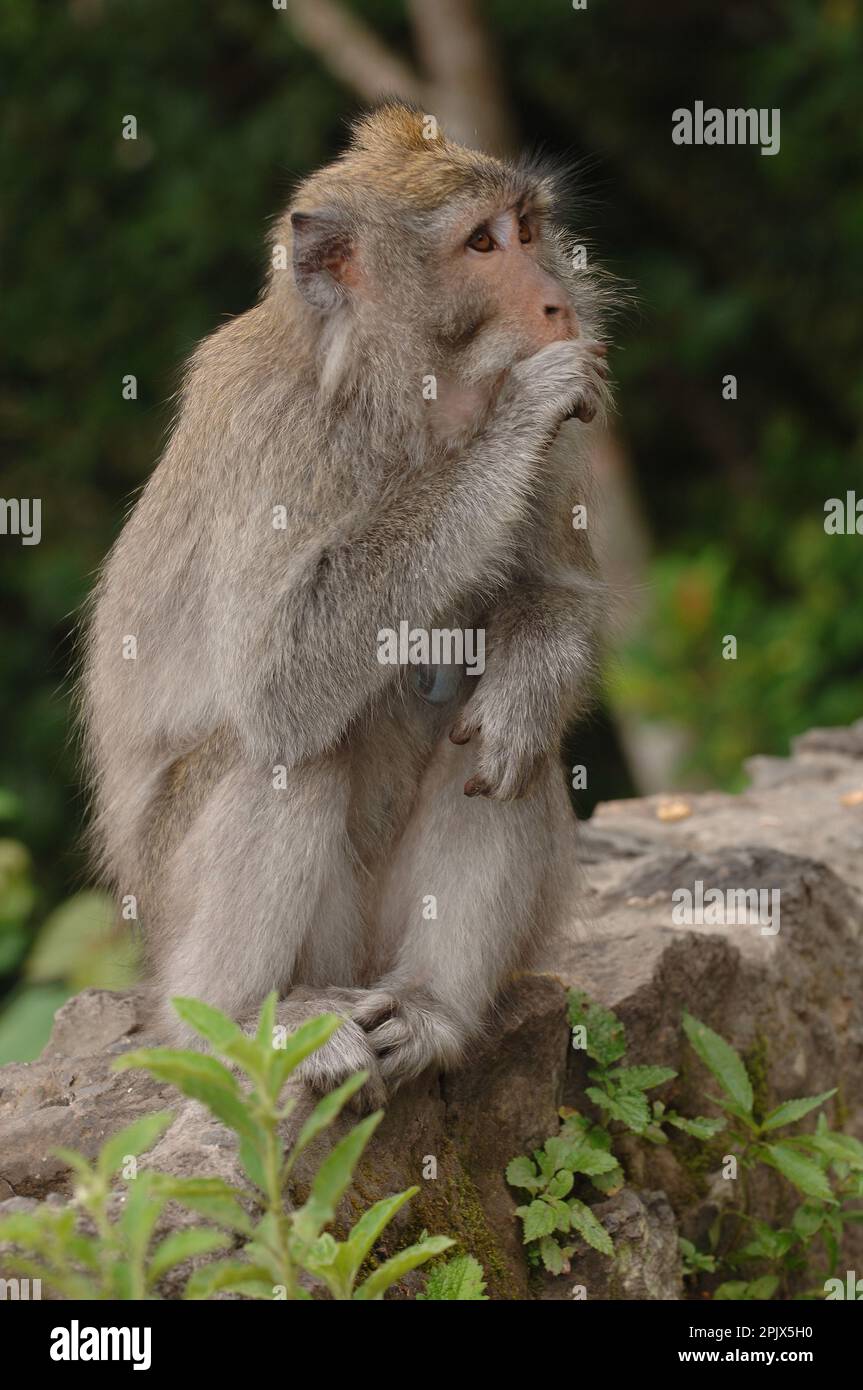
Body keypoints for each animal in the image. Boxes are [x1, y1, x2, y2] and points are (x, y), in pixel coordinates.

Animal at [81, 101, 611, 1106]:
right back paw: (235, 1028)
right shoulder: (270, 432)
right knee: (288, 753)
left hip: (376, 944)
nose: (556, 302)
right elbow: (277, 682)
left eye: (528, 230)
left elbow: (557, 603)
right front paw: (519, 415)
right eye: (480, 244)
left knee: (502, 745)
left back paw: (433, 1008)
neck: (399, 395)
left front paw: (531, 670)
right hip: (186, 914)